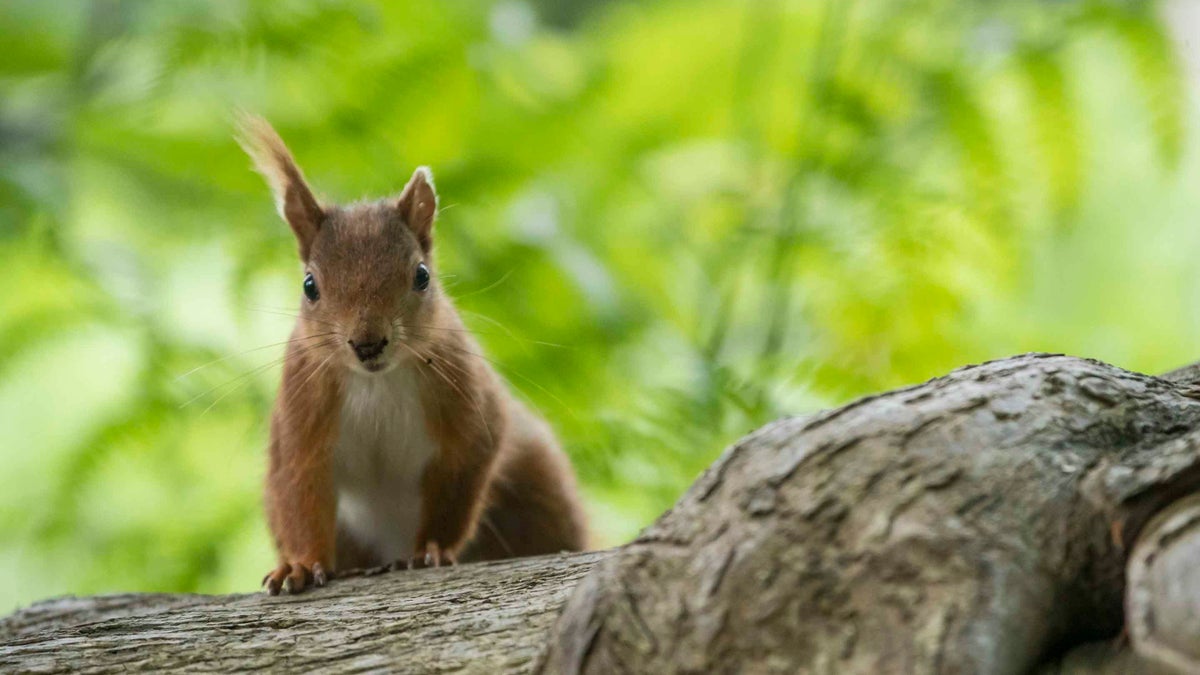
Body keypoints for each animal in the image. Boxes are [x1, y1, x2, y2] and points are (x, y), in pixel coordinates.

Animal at [237, 116, 588, 594]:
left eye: (422, 276)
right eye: (309, 286)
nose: (367, 343)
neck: (376, 380)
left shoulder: (468, 409)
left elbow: (457, 484)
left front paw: (431, 551)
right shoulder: (300, 413)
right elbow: (300, 489)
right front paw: (301, 566)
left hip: (540, 485)